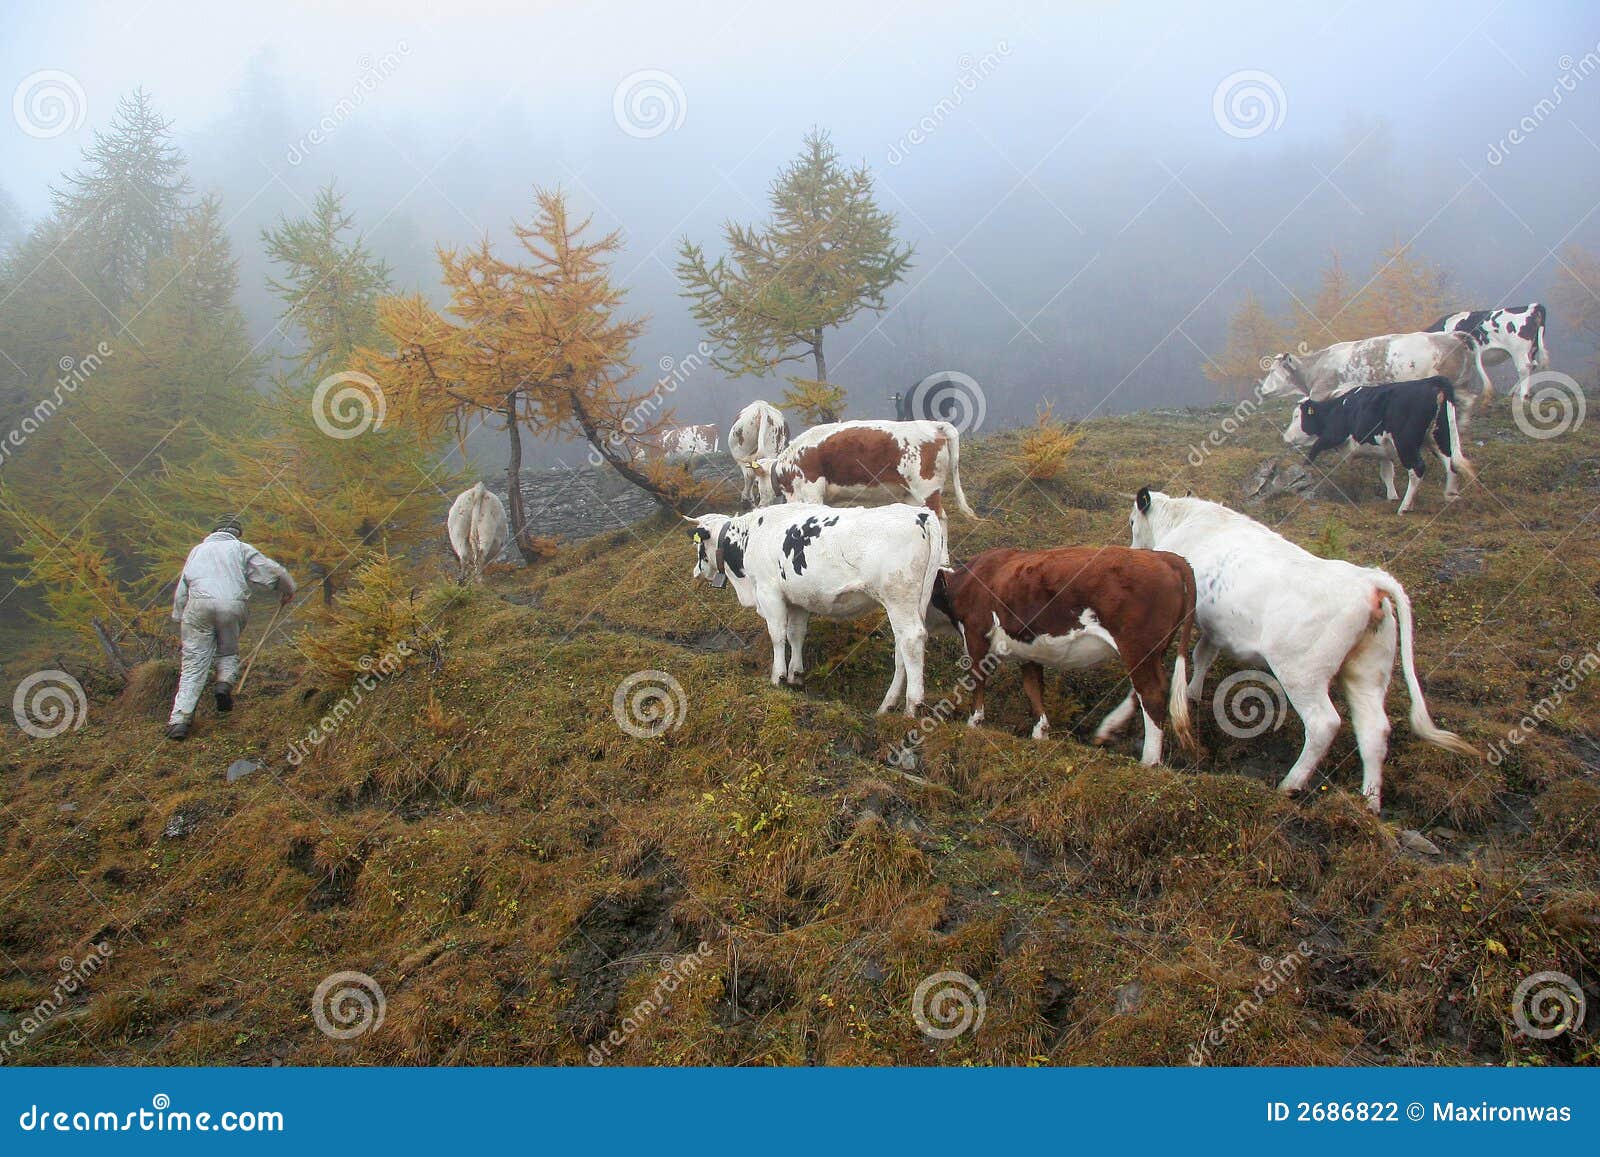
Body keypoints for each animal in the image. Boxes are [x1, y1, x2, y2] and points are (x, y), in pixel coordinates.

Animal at [686, 503, 945, 716]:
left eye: (698, 546)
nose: (695, 572)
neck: (748, 539)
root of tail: (920, 513)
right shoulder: (797, 600)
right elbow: (796, 634)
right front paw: (796, 675)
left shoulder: (769, 594)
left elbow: (777, 636)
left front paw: (777, 677)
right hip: (910, 604)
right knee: (902, 647)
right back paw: (887, 705)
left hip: (899, 599)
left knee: (911, 641)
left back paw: (912, 707)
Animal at [752, 419, 980, 557]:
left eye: (755, 482)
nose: (758, 504)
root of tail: (934, 425)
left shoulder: (811, 492)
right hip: (912, 495)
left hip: (926, 488)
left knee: (941, 519)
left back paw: (943, 560)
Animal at [929, 546, 1199, 765]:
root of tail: (1164, 556)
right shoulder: (1028, 648)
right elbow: (1032, 688)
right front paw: (1040, 733)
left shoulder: (976, 636)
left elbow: (977, 680)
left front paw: (974, 723)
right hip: (1152, 652)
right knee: (1147, 688)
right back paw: (1109, 729)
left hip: (1137, 645)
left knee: (1151, 693)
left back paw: (1149, 760)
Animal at [1122, 488, 1477, 812]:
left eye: (1132, 522)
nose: (1133, 552)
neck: (1188, 521)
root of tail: (1367, 581)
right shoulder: (1218, 628)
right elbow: (1203, 656)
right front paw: (1194, 693)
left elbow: (1198, 655)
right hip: (1367, 673)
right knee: (1373, 730)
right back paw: (1369, 803)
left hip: (1301, 673)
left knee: (1324, 724)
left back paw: (1290, 784)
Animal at [1283, 377, 1476, 514]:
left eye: (1296, 416)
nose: (1285, 436)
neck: (1338, 407)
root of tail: (1433, 381)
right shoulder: (1384, 452)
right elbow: (1387, 474)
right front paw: (1392, 496)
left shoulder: (1332, 436)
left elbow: (1313, 452)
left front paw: (1303, 469)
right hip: (1440, 436)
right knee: (1451, 463)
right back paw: (1451, 496)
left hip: (1405, 442)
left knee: (1417, 469)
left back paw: (1405, 507)